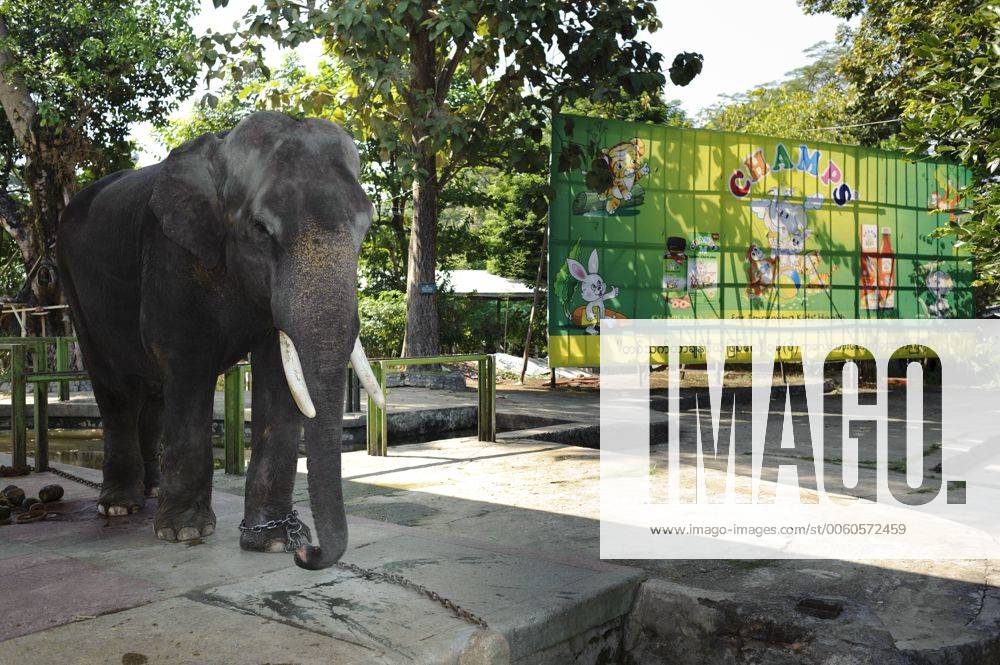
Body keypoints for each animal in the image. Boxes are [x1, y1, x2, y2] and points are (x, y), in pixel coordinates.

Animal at [57, 111, 385, 570]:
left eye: (367, 227)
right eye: (261, 229)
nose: (309, 552)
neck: (222, 151)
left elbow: (279, 377)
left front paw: (274, 540)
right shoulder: (171, 256)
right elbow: (189, 366)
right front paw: (184, 533)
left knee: (153, 393)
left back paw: (152, 490)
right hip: (75, 289)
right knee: (116, 389)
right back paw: (119, 506)